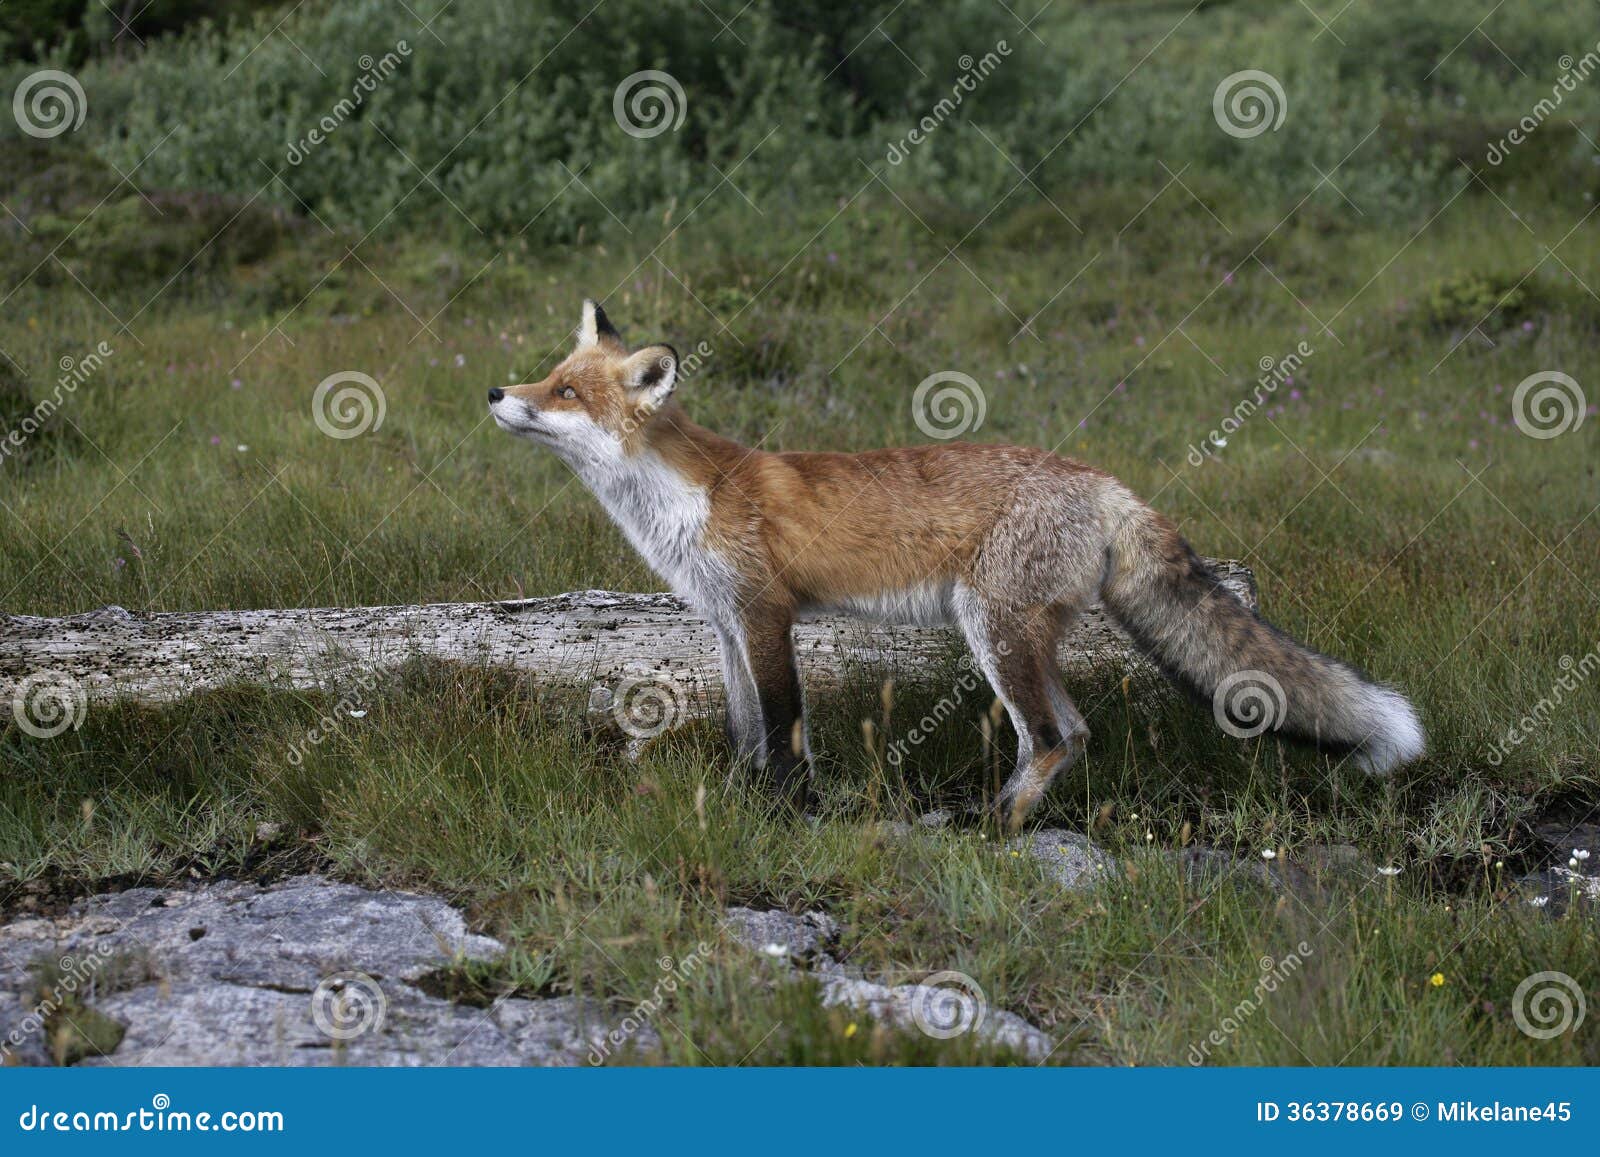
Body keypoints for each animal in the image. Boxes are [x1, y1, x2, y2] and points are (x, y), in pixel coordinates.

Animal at [489, 301, 1424, 830]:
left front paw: (788, 818)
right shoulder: (724, 626)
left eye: (566, 392)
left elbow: (786, 732)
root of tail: (1105, 481)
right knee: (1075, 733)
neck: (683, 498)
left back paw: (990, 829)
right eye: (550, 374)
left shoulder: (765, 614)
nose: (497, 393)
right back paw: (1003, 820)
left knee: (1051, 735)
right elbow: (746, 732)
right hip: (1018, 635)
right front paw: (740, 799)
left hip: (993, 628)